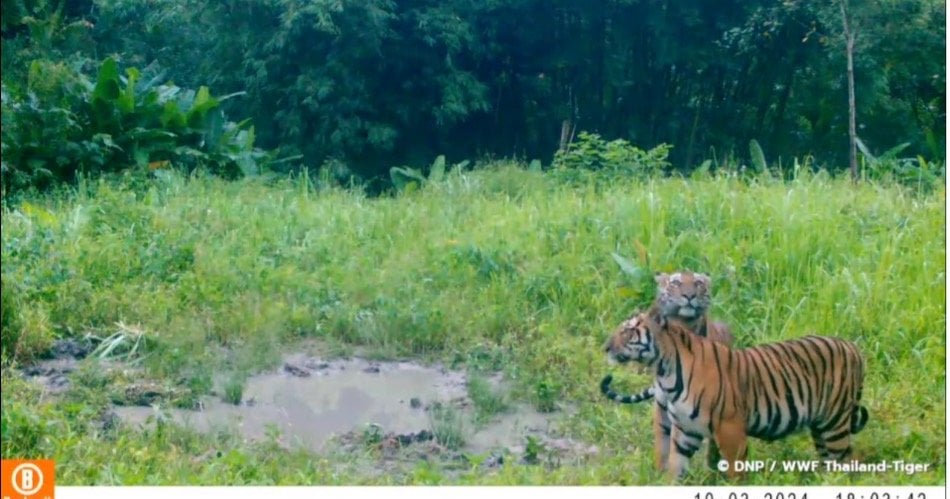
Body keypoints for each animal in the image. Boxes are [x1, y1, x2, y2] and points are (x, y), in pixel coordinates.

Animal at [602, 310, 869, 480]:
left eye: (628, 331)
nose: (605, 347)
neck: (664, 372)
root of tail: (853, 347)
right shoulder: (685, 431)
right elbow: (676, 468)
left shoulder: (730, 429)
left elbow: (735, 473)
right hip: (820, 426)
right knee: (830, 462)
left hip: (835, 423)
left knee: (848, 460)